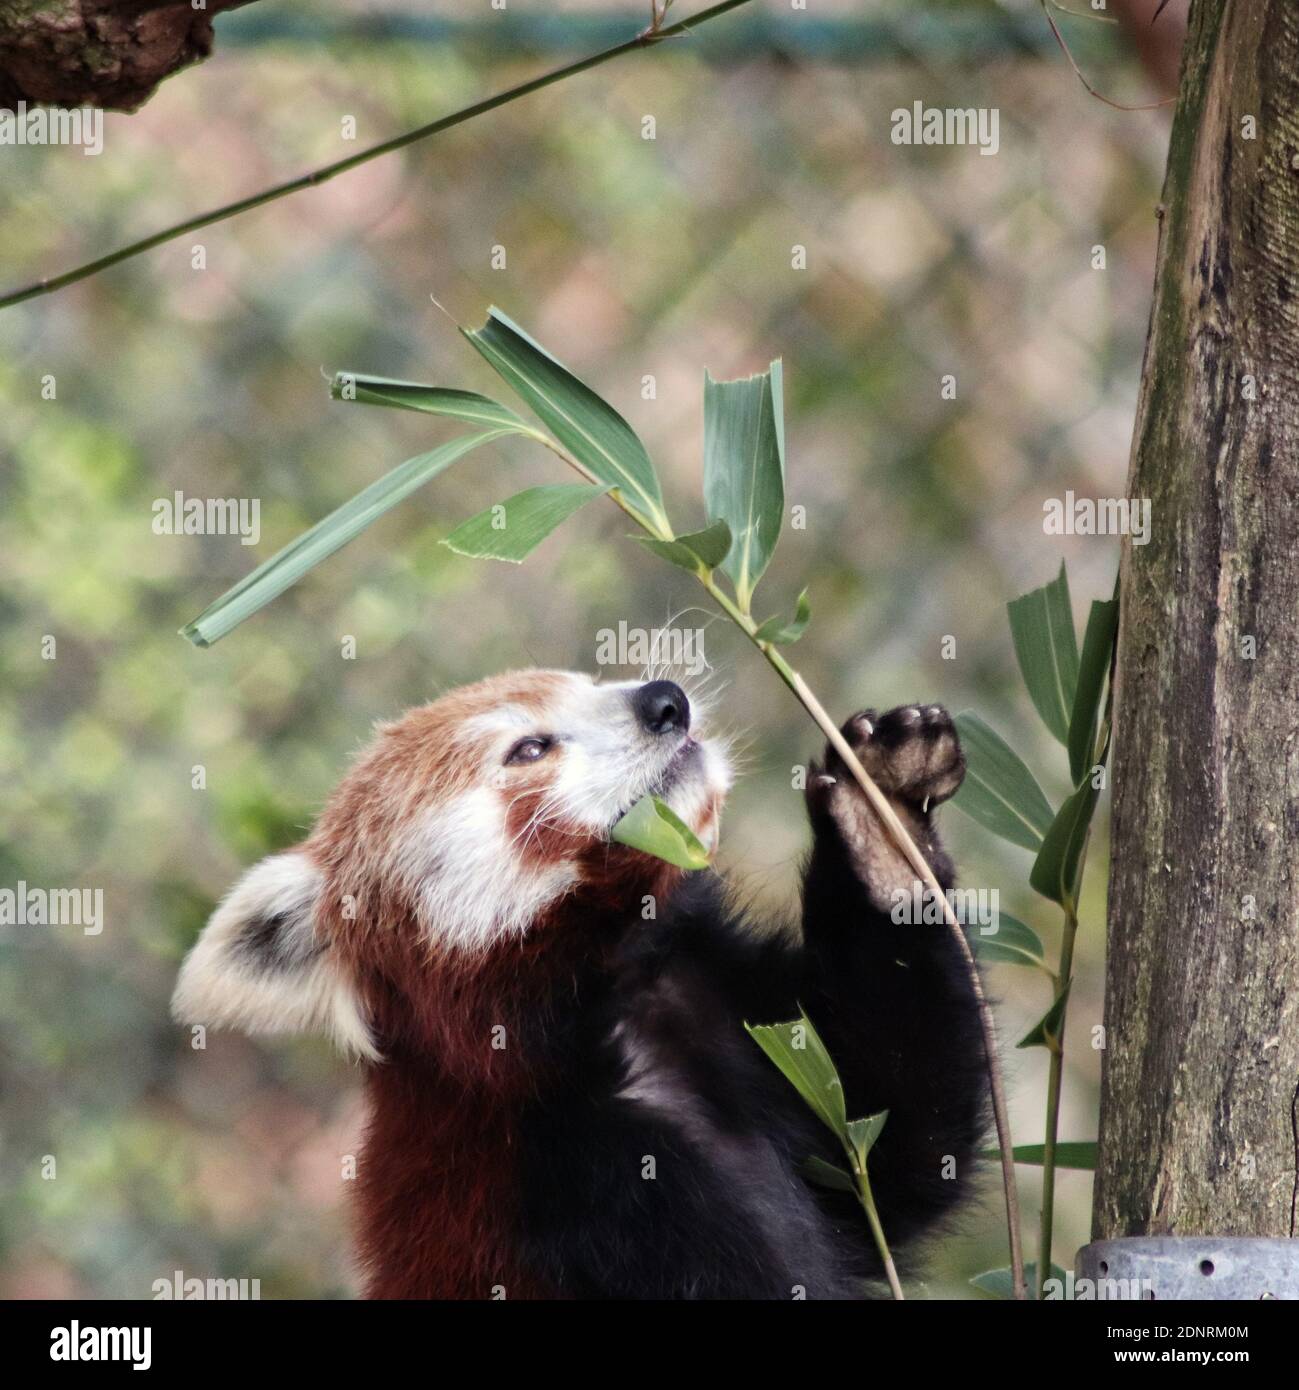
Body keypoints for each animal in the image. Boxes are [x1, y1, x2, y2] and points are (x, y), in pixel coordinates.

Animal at [172, 669, 987, 1299]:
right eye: (530, 747)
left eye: (592, 683)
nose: (664, 699)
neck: (620, 1013)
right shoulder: (547, 1187)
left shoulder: (729, 1017)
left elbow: (891, 1148)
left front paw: (877, 819)